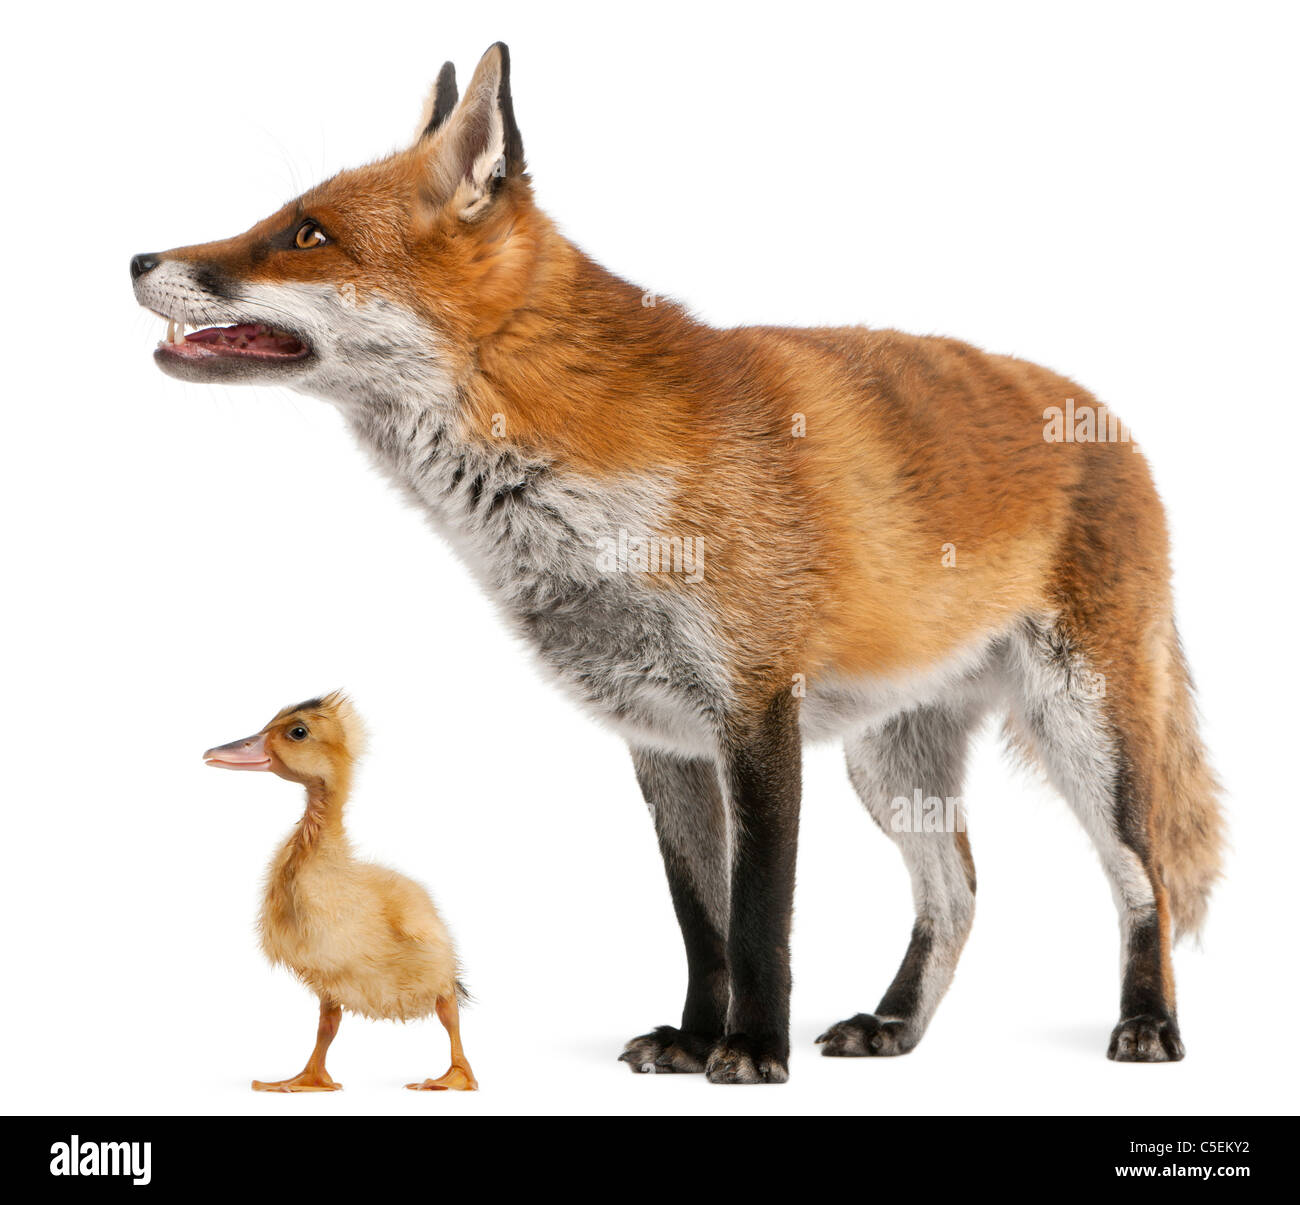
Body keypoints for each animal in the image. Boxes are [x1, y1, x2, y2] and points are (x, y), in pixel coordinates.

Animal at [132, 42, 1223, 1083]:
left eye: (306, 234)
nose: (139, 256)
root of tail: (1105, 417)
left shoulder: (755, 711)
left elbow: (759, 916)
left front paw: (753, 1052)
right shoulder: (660, 734)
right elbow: (702, 921)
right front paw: (697, 1041)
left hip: (1086, 732)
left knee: (1144, 881)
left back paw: (1150, 1023)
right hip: (891, 762)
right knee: (956, 890)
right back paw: (894, 1024)